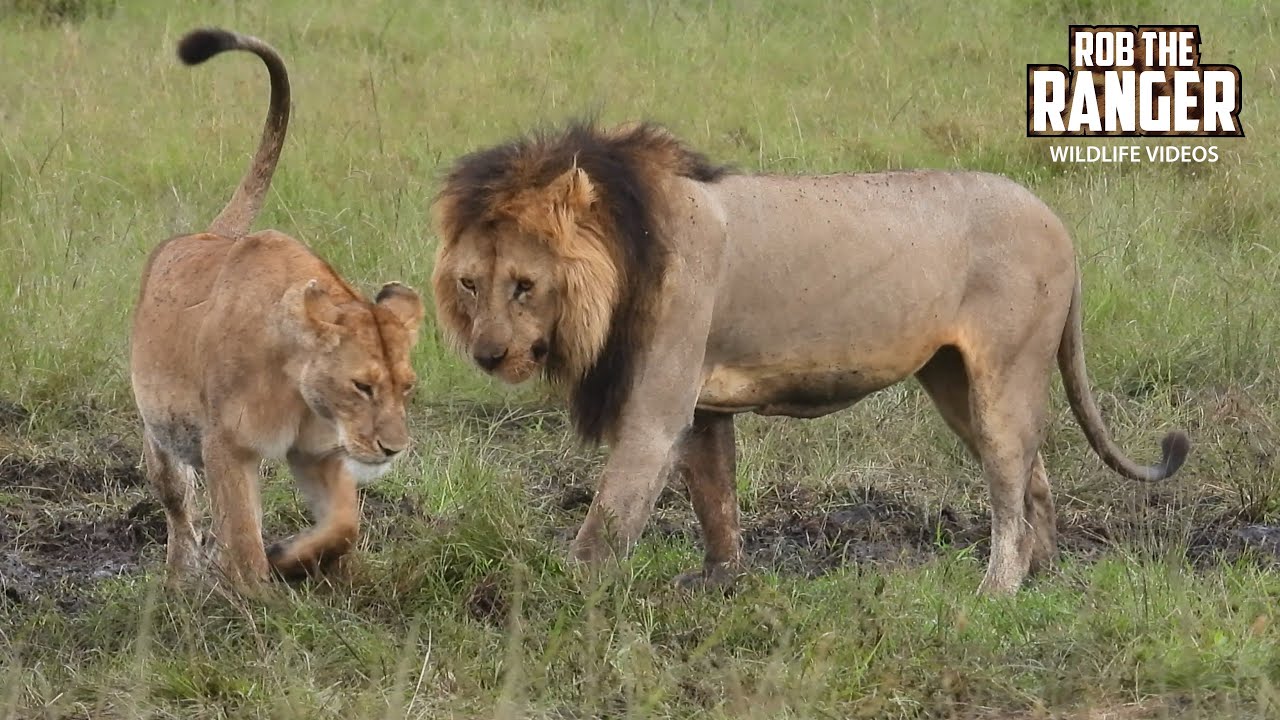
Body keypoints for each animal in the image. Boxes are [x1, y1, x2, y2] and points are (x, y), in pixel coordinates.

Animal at [129, 28, 425, 588]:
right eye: (361, 386)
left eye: (407, 388)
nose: (394, 450)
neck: (298, 389)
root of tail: (207, 234)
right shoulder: (225, 447)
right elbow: (243, 541)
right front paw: (259, 597)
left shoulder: (320, 452)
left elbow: (344, 525)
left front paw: (294, 559)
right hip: (162, 433)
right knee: (179, 505)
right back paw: (180, 577)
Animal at [430, 120, 1190, 596]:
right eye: (470, 283)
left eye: (524, 285)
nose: (488, 354)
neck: (624, 251)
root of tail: (1056, 220)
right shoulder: (703, 404)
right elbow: (715, 494)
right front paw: (721, 581)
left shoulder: (655, 410)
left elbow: (610, 518)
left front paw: (560, 593)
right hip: (952, 378)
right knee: (1035, 479)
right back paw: (1044, 573)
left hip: (1006, 370)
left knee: (1009, 480)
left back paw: (999, 587)